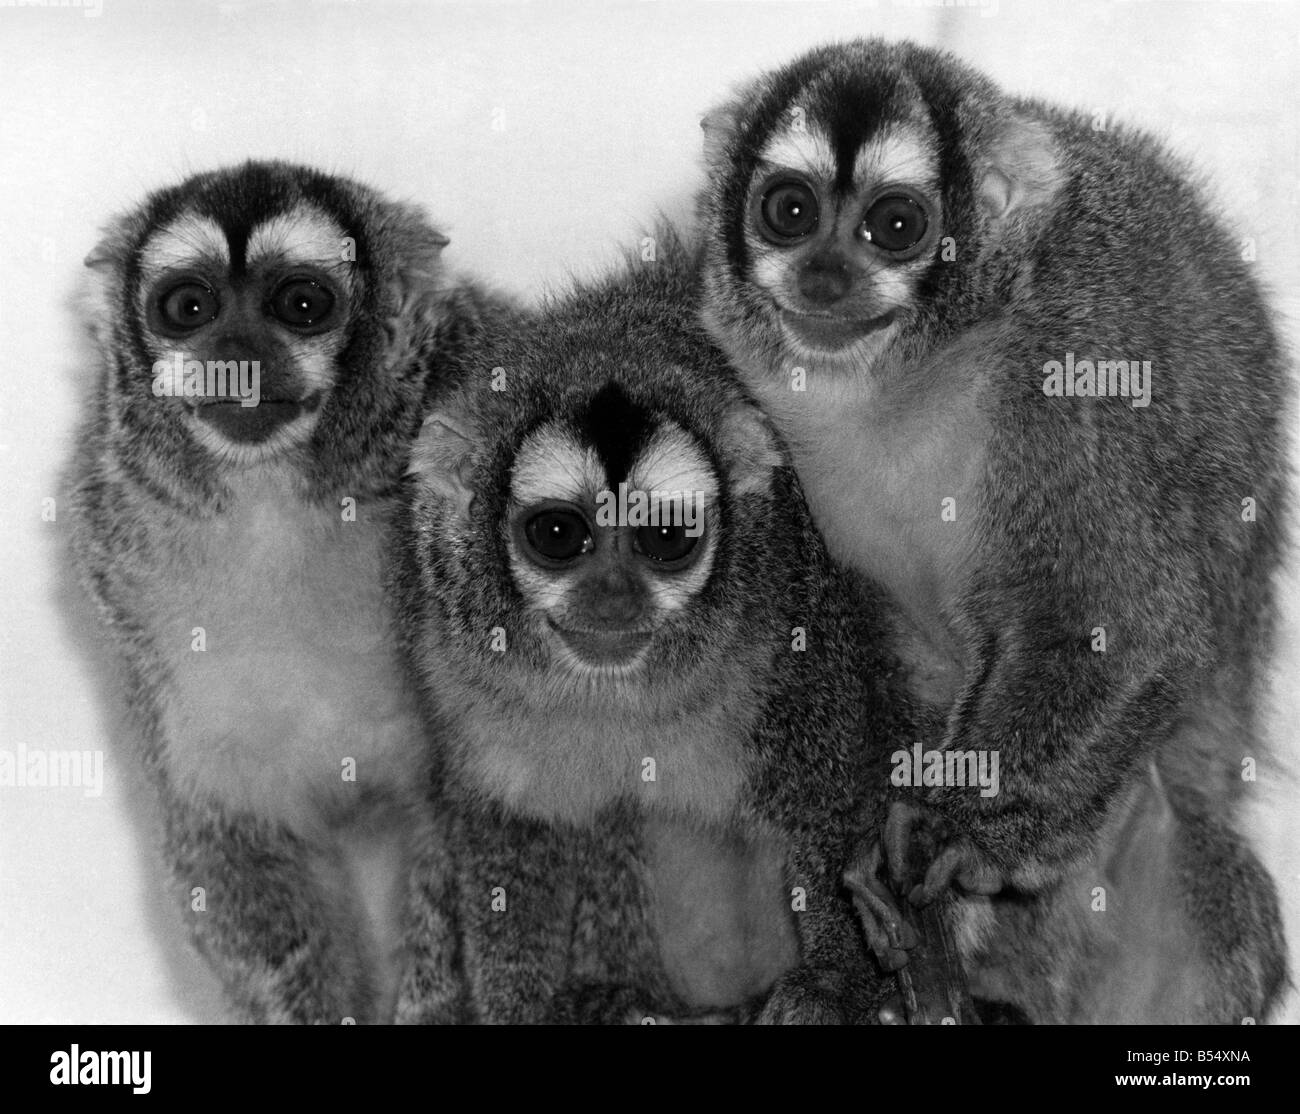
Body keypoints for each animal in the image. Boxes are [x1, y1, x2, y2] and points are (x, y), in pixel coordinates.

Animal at [65, 160, 509, 1023]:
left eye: (302, 304)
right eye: (188, 307)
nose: (235, 353)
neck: (274, 500)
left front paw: (431, 1008)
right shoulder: (116, 557)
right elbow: (231, 830)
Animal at [393, 228, 945, 1024]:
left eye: (665, 537)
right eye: (558, 534)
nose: (614, 599)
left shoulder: (792, 626)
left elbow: (838, 788)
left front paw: (835, 984)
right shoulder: (456, 661)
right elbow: (512, 826)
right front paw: (520, 1006)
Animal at [694, 38, 1290, 1022]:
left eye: (895, 225)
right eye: (789, 210)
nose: (824, 275)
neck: (914, 374)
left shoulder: (1071, 378)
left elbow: (1122, 622)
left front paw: (964, 832)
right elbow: (849, 666)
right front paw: (847, 971)